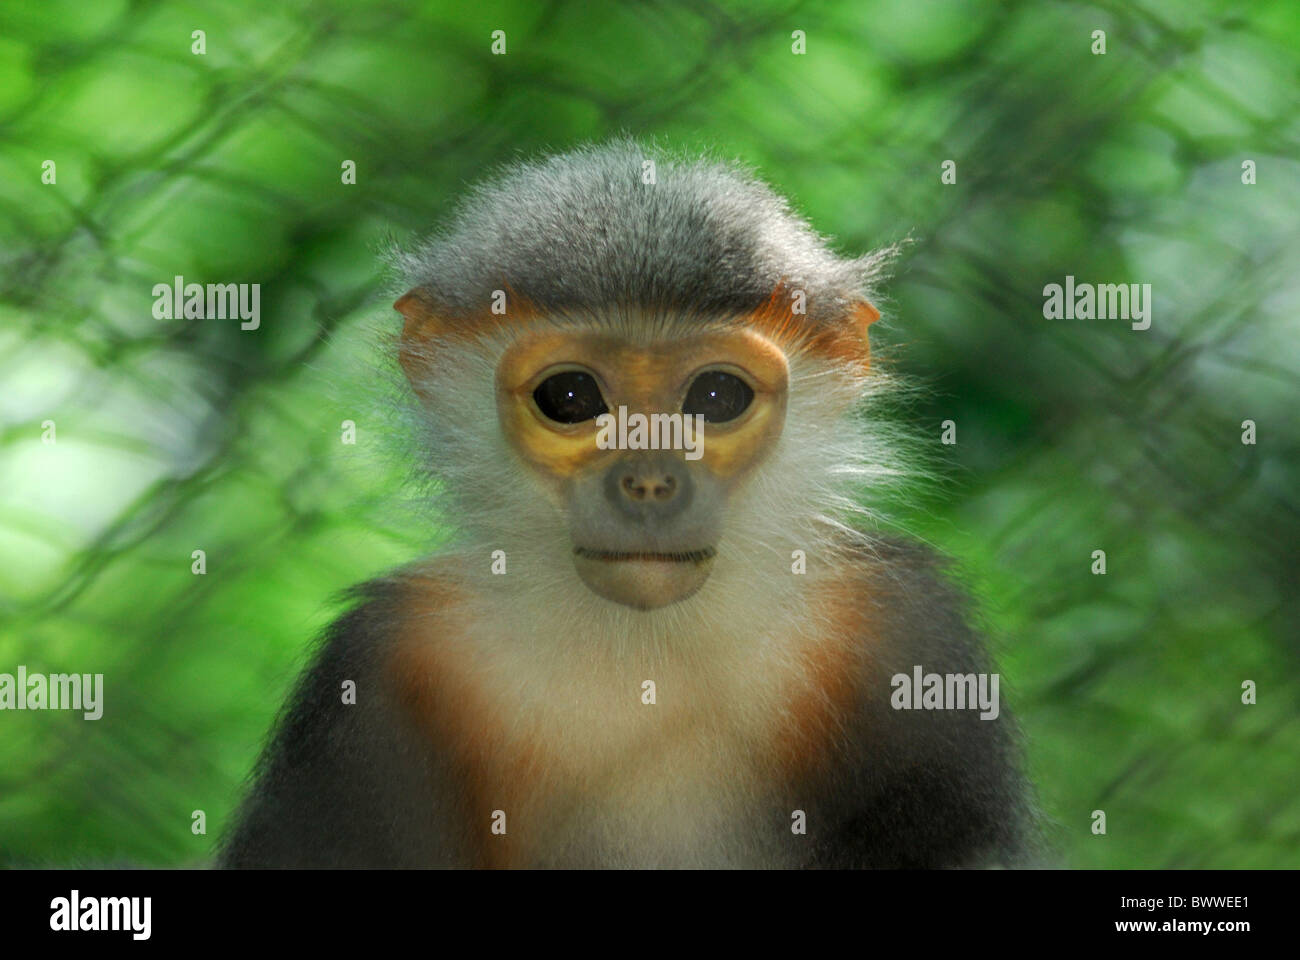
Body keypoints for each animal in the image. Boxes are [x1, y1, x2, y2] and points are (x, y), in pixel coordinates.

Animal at [218, 140, 1040, 869]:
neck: (644, 655)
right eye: (570, 397)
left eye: (717, 397)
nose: (648, 482)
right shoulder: (382, 657)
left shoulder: (904, 627)